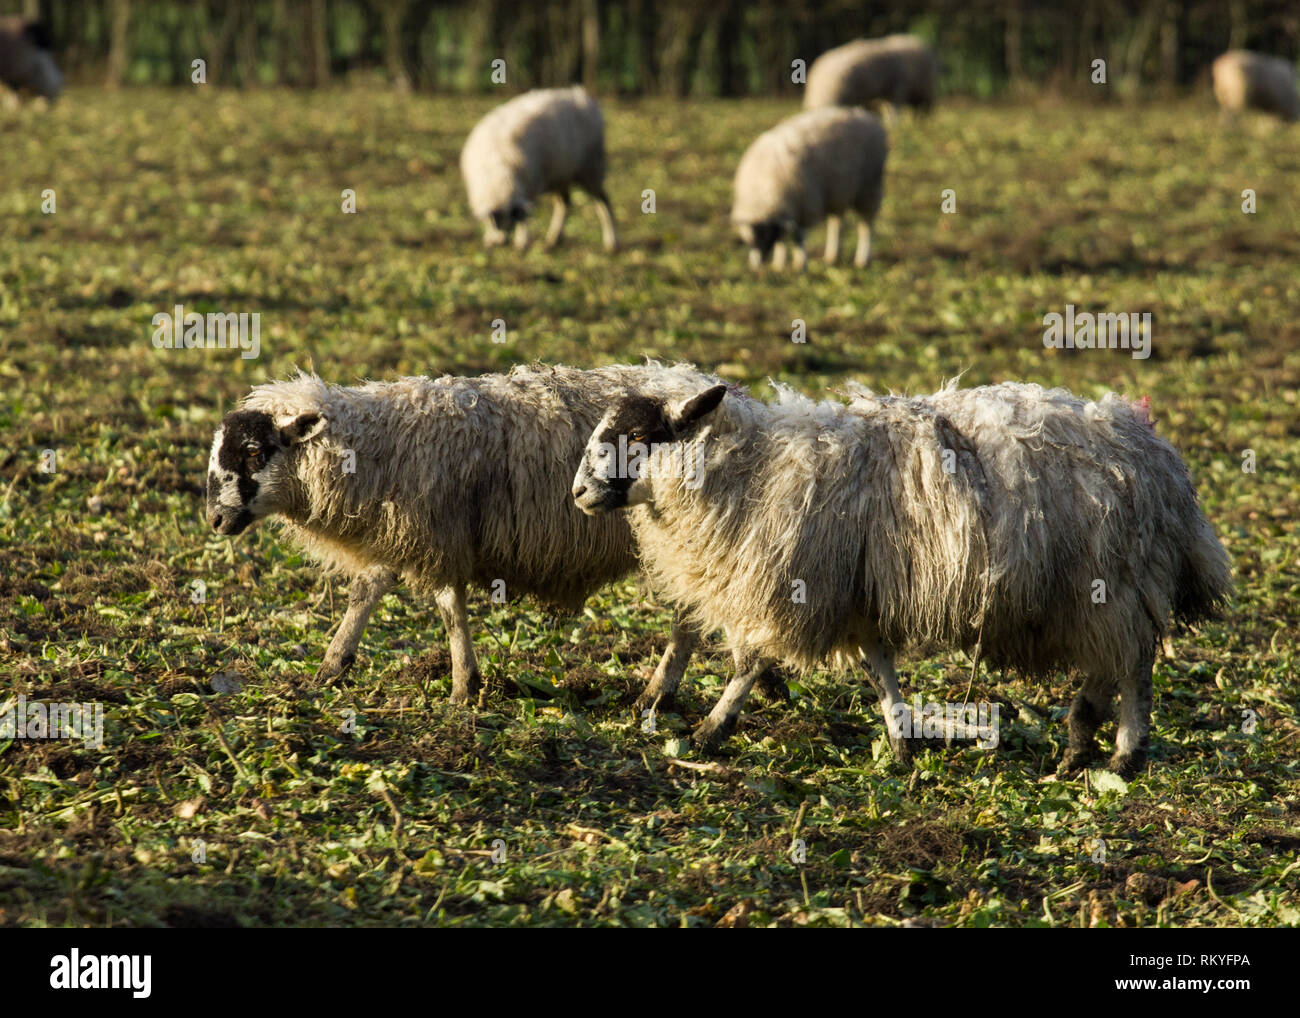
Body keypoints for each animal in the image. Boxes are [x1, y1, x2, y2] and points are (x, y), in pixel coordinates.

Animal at [205, 363, 787, 710]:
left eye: (254, 452)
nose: (214, 520)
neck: (373, 445)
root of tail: (731, 395)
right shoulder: (407, 532)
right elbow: (366, 591)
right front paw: (332, 666)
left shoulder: (439, 533)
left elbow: (447, 607)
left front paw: (464, 687)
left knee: (693, 617)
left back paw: (659, 695)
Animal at [460, 86, 616, 252]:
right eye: (494, 220)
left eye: (511, 219)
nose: (501, 242)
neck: (499, 174)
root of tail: (581, 94)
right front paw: (490, 238)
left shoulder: (530, 185)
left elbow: (524, 219)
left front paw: (522, 242)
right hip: (561, 175)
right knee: (564, 203)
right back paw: (553, 239)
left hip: (591, 168)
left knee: (603, 202)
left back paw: (611, 242)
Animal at [572, 380, 1232, 778]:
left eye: (637, 437)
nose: (577, 492)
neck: (746, 471)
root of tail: (1157, 456)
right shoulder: (857, 595)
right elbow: (877, 668)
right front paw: (900, 741)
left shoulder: (795, 583)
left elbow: (751, 662)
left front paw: (710, 731)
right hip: (1094, 594)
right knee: (1109, 663)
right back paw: (1078, 741)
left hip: (1112, 584)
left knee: (1134, 665)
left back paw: (1122, 753)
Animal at [731, 107, 887, 270]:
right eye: (750, 239)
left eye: (767, 236)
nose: (757, 264)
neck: (764, 192)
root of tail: (865, 115)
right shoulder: (786, 210)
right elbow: (782, 240)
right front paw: (779, 264)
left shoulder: (802, 206)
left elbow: (798, 238)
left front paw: (801, 264)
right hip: (838, 191)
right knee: (836, 223)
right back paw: (832, 255)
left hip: (869, 187)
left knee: (866, 227)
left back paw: (862, 259)